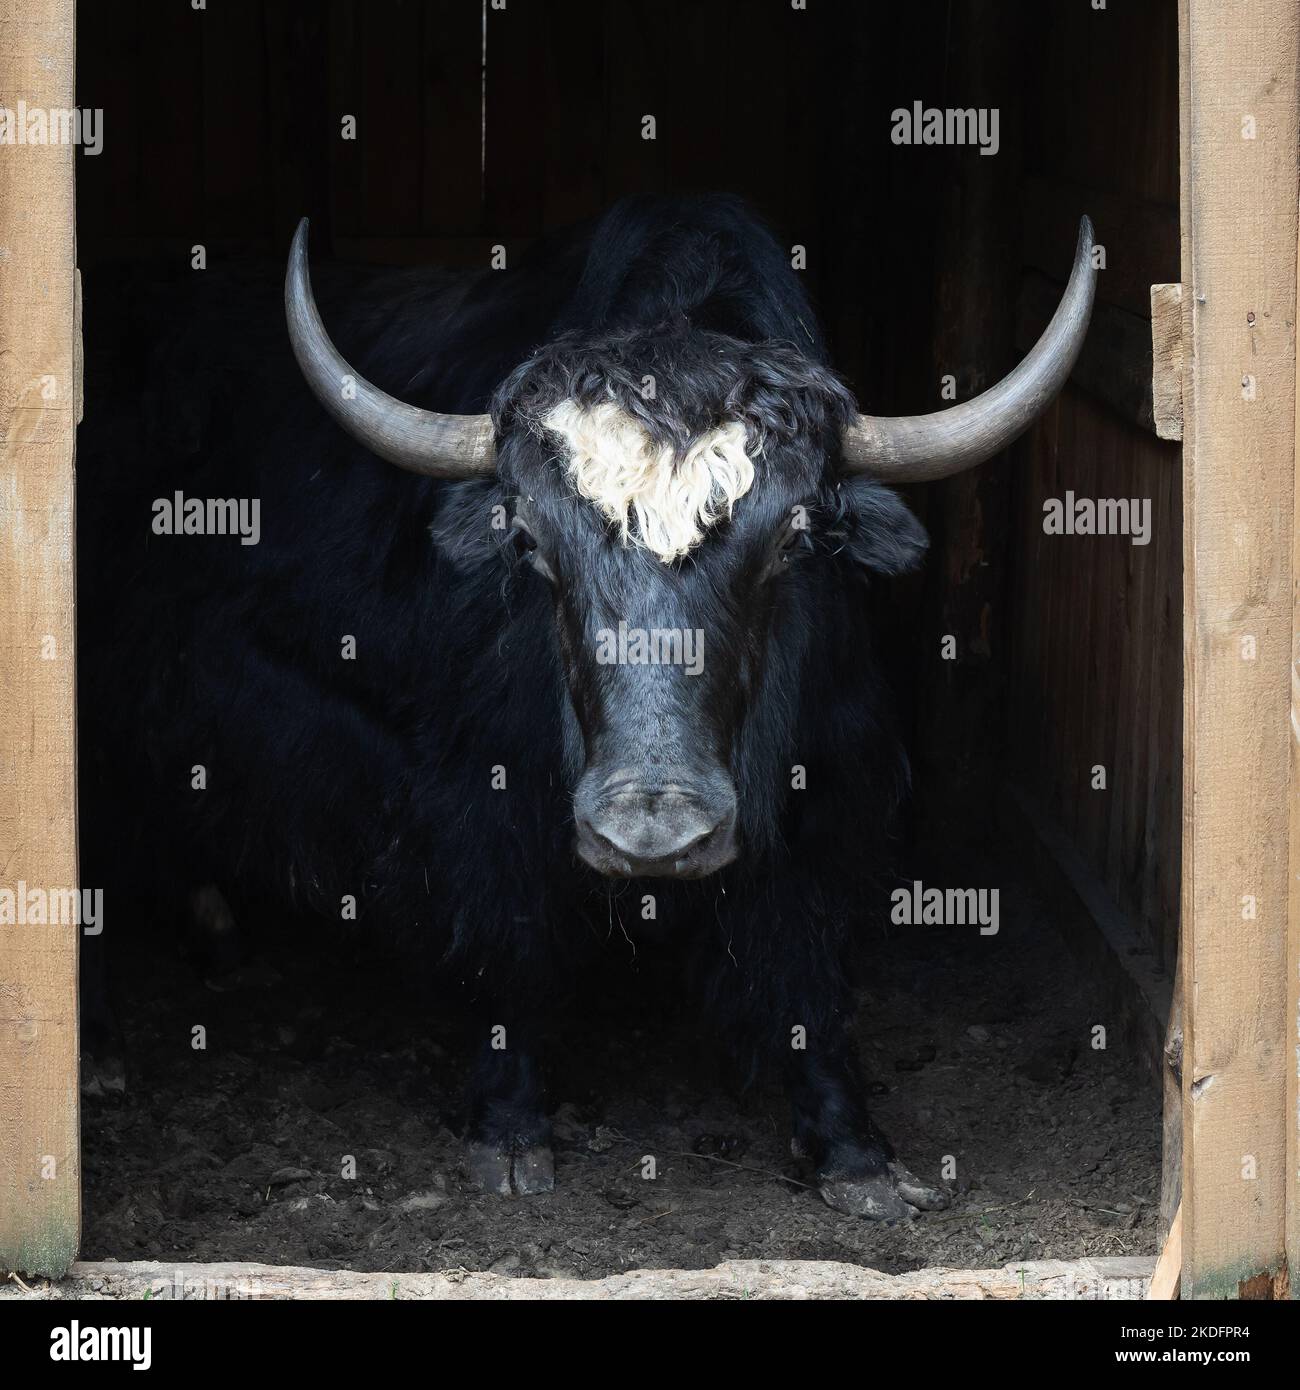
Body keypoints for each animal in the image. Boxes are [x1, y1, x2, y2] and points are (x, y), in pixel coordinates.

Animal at [80, 194, 1093, 1221]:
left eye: (793, 539)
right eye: (530, 539)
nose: (654, 833)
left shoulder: (830, 790)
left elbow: (808, 960)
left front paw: (855, 1152)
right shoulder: (477, 793)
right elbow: (509, 945)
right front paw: (510, 1134)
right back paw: (100, 1056)